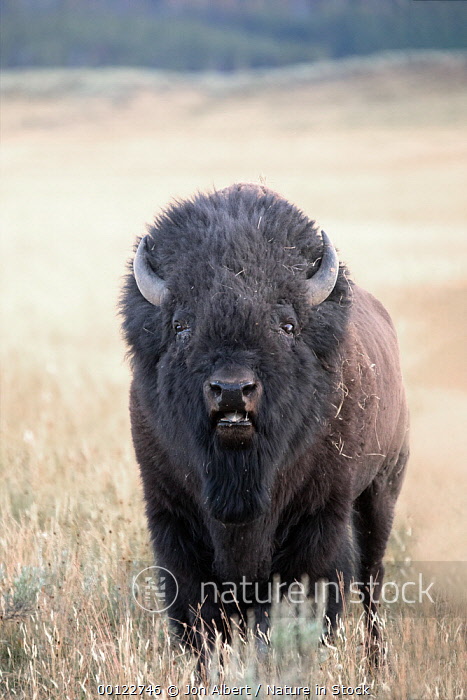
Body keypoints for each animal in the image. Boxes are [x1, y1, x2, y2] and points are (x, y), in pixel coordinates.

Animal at [121, 183, 409, 668]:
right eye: (181, 324)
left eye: (286, 324)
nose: (232, 390)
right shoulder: (172, 519)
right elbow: (198, 617)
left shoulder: (319, 521)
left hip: (380, 493)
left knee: (371, 579)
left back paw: (377, 660)